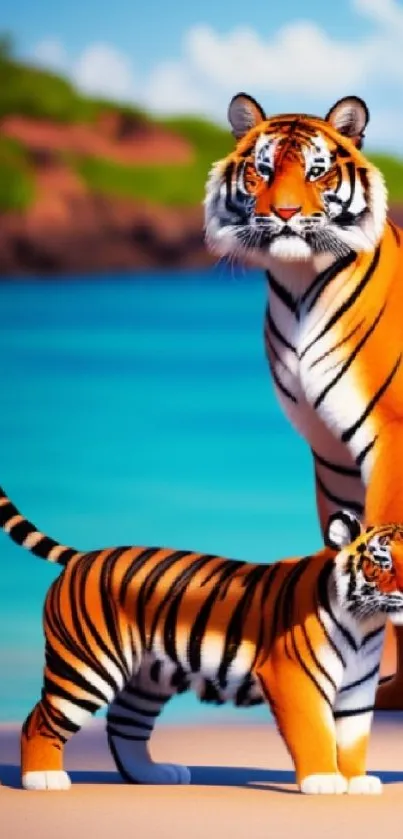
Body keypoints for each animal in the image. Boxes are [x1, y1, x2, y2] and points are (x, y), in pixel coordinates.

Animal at [2, 489, 403, 795]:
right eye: (381, 562)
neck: (365, 624)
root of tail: (82, 557)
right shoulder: (294, 679)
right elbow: (315, 731)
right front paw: (324, 780)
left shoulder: (357, 691)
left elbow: (352, 739)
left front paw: (355, 781)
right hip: (88, 667)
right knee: (39, 720)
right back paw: (43, 778)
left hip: (148, 677)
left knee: (124, 722)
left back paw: (153, 775)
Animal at [204, 93, 403, 710]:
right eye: (263, 170)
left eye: (317, 171)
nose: (288, 213)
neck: (299, 288)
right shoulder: (331, 452)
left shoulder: (391, 435)